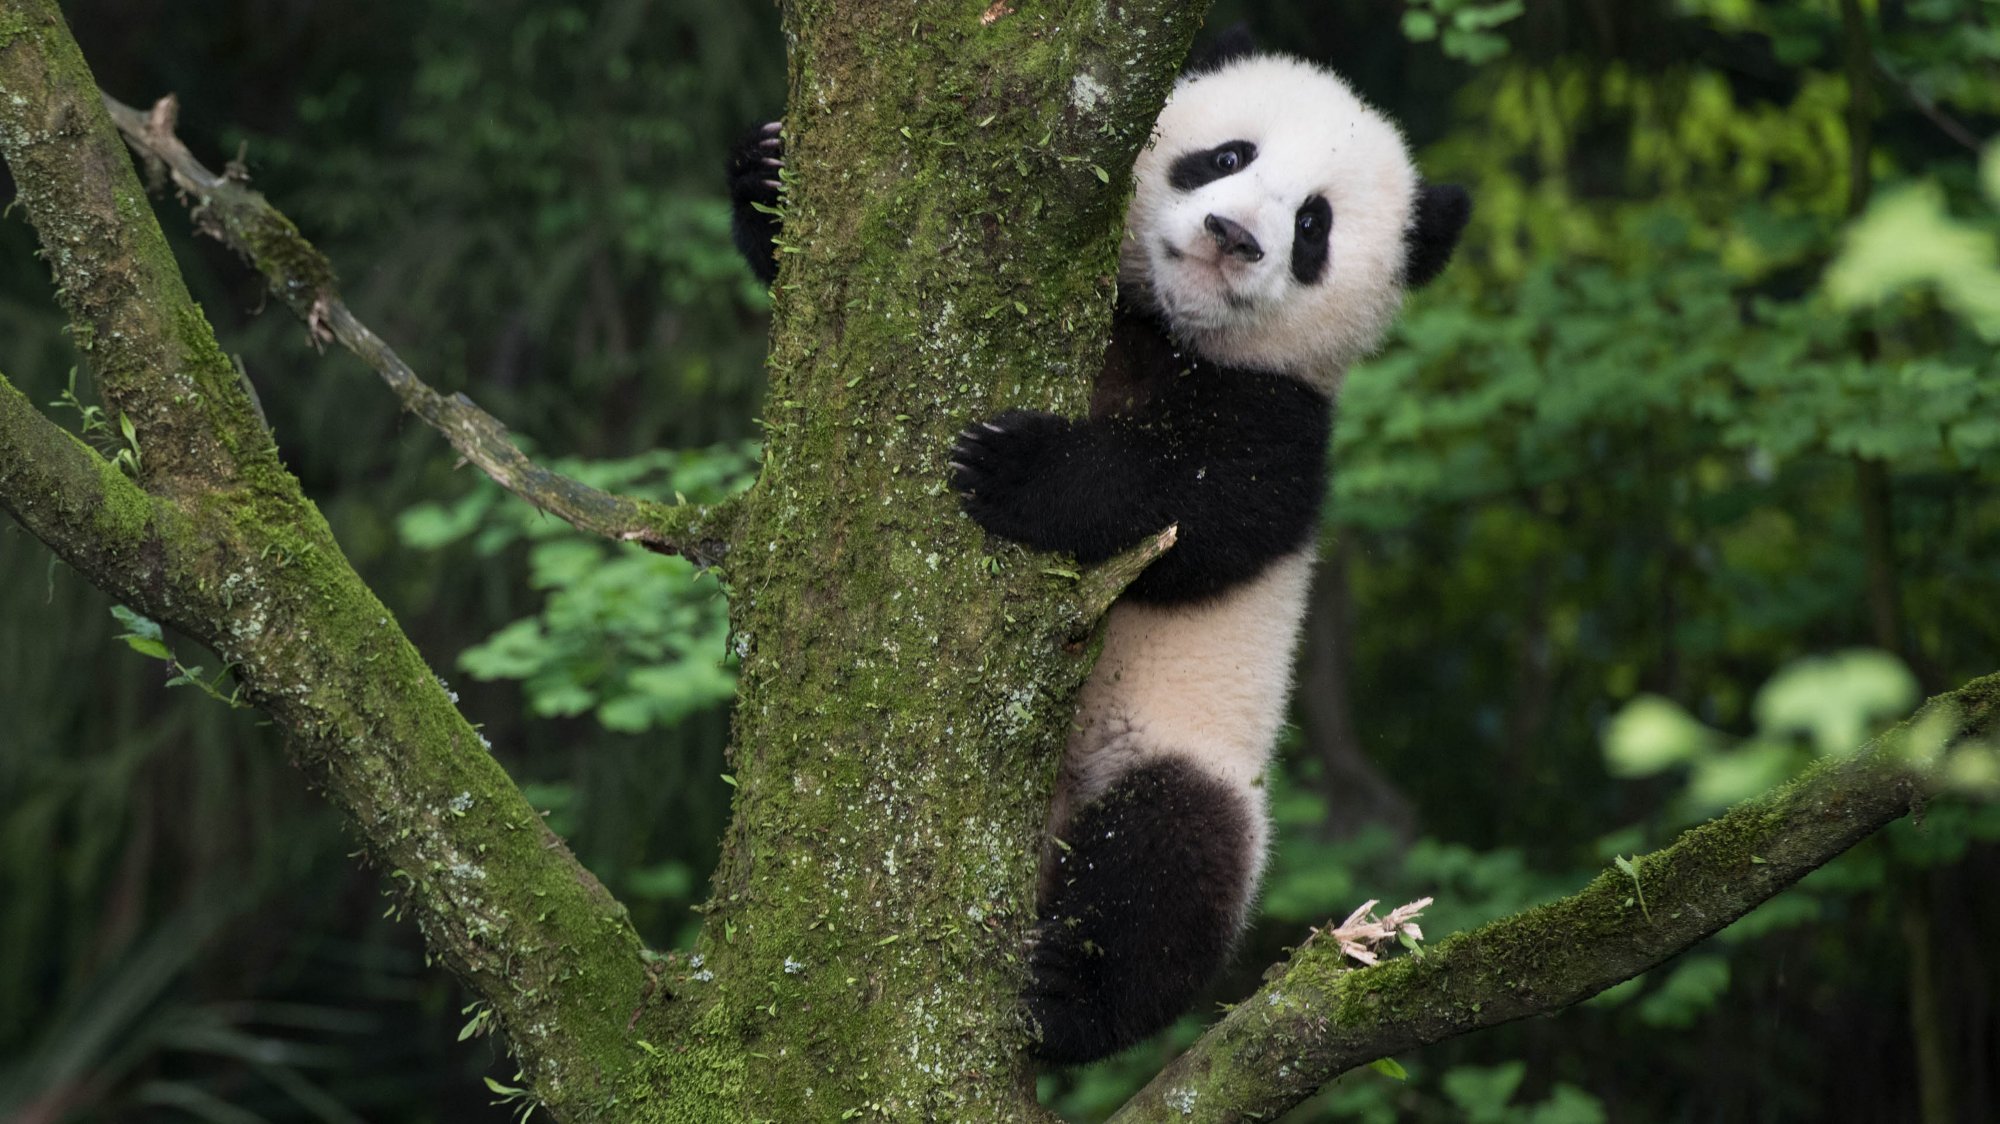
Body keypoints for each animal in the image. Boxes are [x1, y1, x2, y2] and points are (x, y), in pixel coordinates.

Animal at [727, 30, 1470, 1065]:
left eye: (1313, 226)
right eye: (1227, 156)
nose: (1233, 235)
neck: (1163, 326)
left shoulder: (1286, 423)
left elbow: (1203, 508)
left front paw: (1012, 467)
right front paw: (767, 170)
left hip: (1177, 758)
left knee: (1169, 859)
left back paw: (1067, 996)